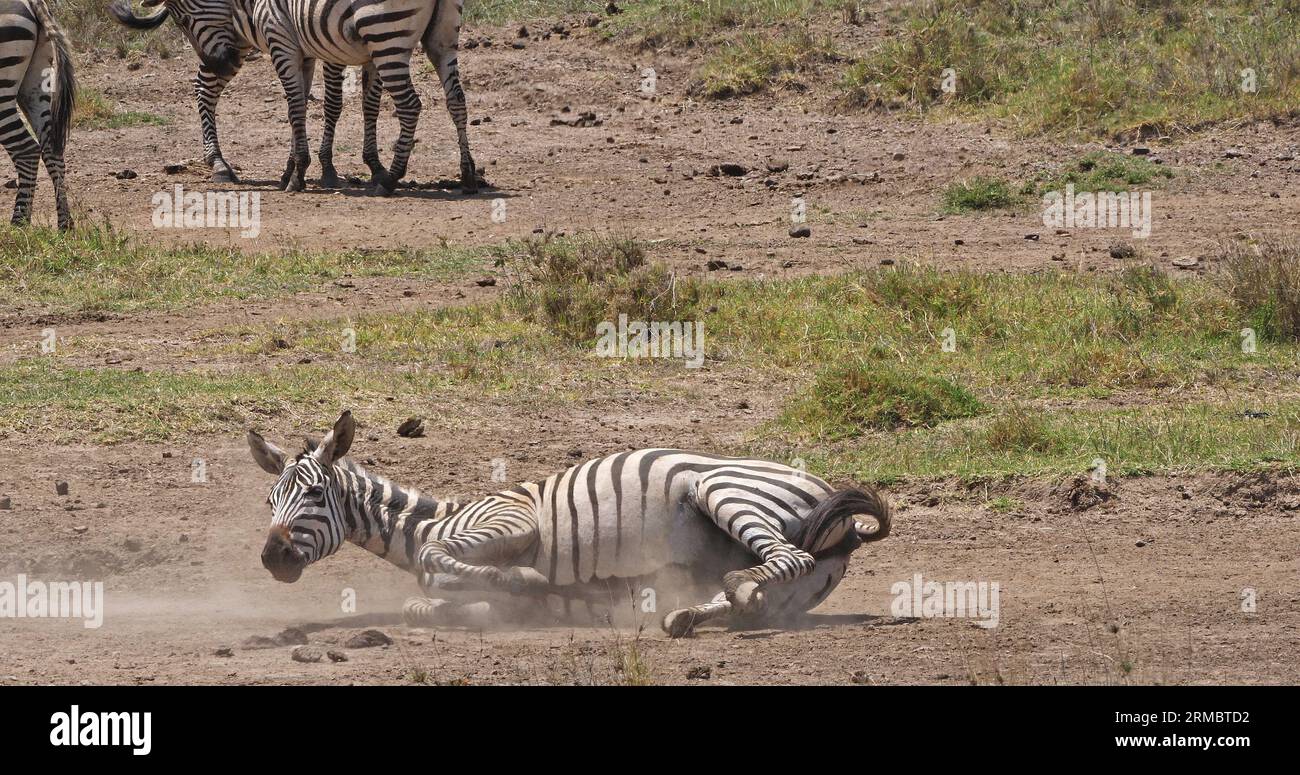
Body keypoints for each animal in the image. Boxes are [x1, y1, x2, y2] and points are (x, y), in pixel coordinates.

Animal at [0, 0, 74, 229]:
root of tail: (31, 2)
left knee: (26, 150)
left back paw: (18, 224)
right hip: (34, 83)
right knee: (51, 150)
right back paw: (65, 224)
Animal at [111, 0, 477, 195]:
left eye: (184, 20)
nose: (221, 62)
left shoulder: (285, 41)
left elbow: (301, 107)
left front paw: (302, 171)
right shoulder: (303, 46)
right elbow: (301, 106)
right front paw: (296, 169)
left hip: (386, 34)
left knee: (410, 105)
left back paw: (390, 180)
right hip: (438, 38)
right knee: (456, 100)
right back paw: (468, 174)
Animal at [247, 411, 892, 637]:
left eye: (314, 493)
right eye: (271, 499)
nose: (272, 558)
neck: (436, 521)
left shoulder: (515, 522)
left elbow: (445, 561)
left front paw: (517, 582)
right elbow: (423, 603)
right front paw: (495, 603)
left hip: (724, 490)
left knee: (784, 557)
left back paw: (727, 591)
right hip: (783, 579)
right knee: (760, 592)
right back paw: (694, 611)